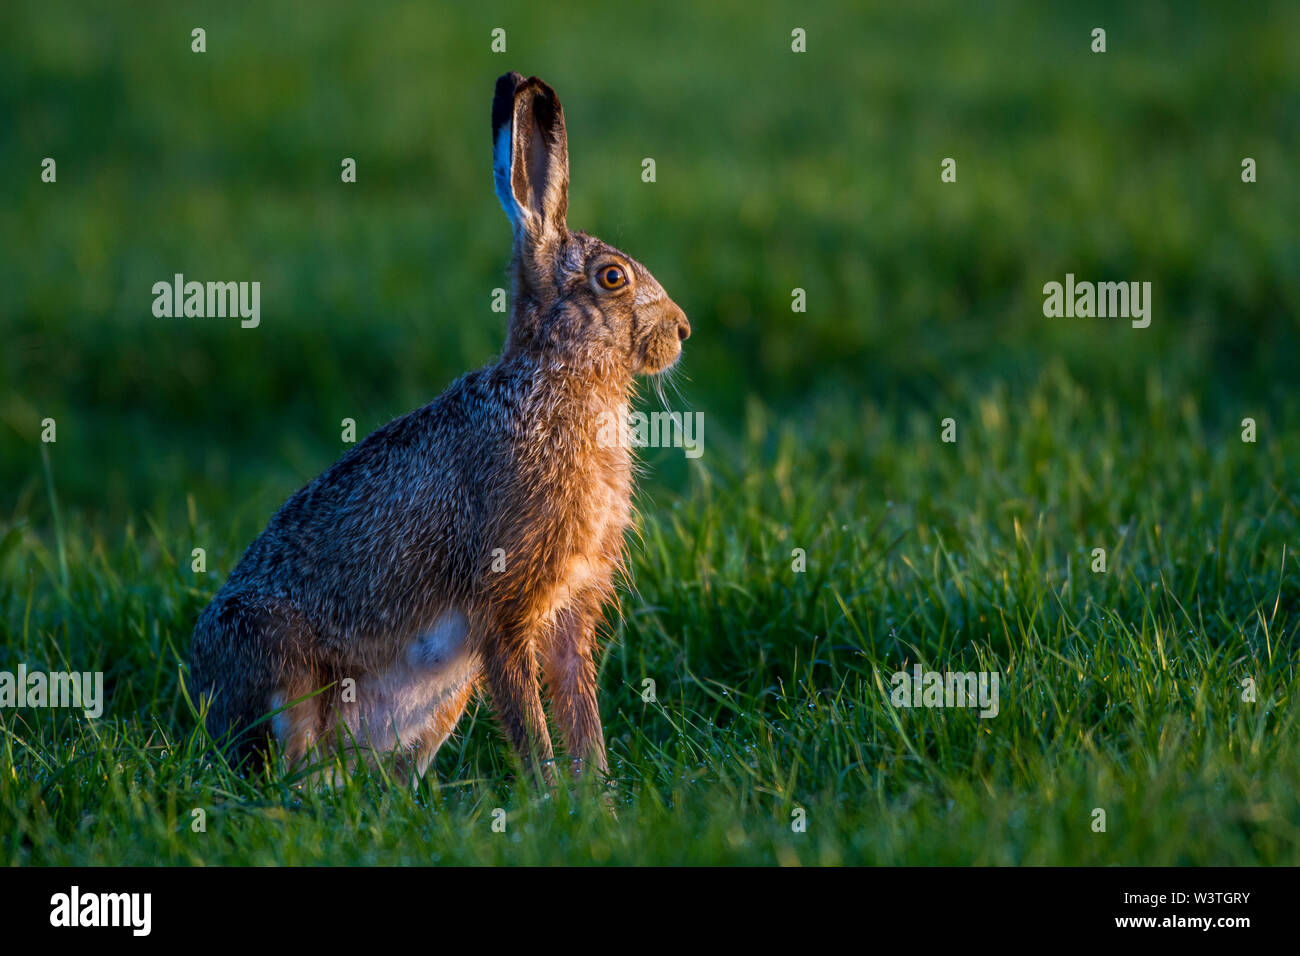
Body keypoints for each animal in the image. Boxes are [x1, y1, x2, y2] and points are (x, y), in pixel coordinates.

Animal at [189, 71, 690, 784]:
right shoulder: (502, 605)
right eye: (613, 278)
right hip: (279, 660)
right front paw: (550, 793)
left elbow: (578, 706)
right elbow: (528, 715)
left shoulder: (571, 605)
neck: (559, 381)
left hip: (444, 698)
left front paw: (598, 795)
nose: (682, 331)